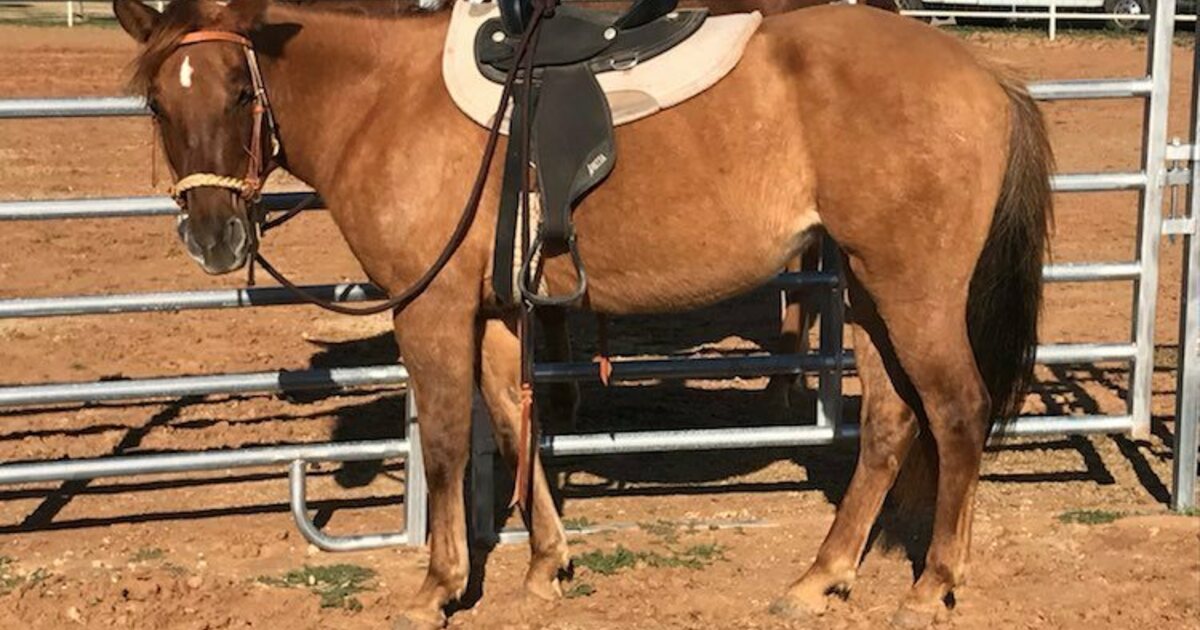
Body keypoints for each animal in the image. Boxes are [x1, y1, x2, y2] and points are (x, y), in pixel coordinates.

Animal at [111, 0, 1053, 627]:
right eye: (158, 101)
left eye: (241, 93)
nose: (214, 235)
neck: (384, 101)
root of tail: (986, 75)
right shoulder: (495, 309)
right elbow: (512, 422)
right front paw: (546, 565)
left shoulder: (432, 308)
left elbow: (448, 441)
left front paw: (437, 588)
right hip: (865, 287)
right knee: (893, 422)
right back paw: (821, 576)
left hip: (913, 290)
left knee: (957, 412)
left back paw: (931, 585)